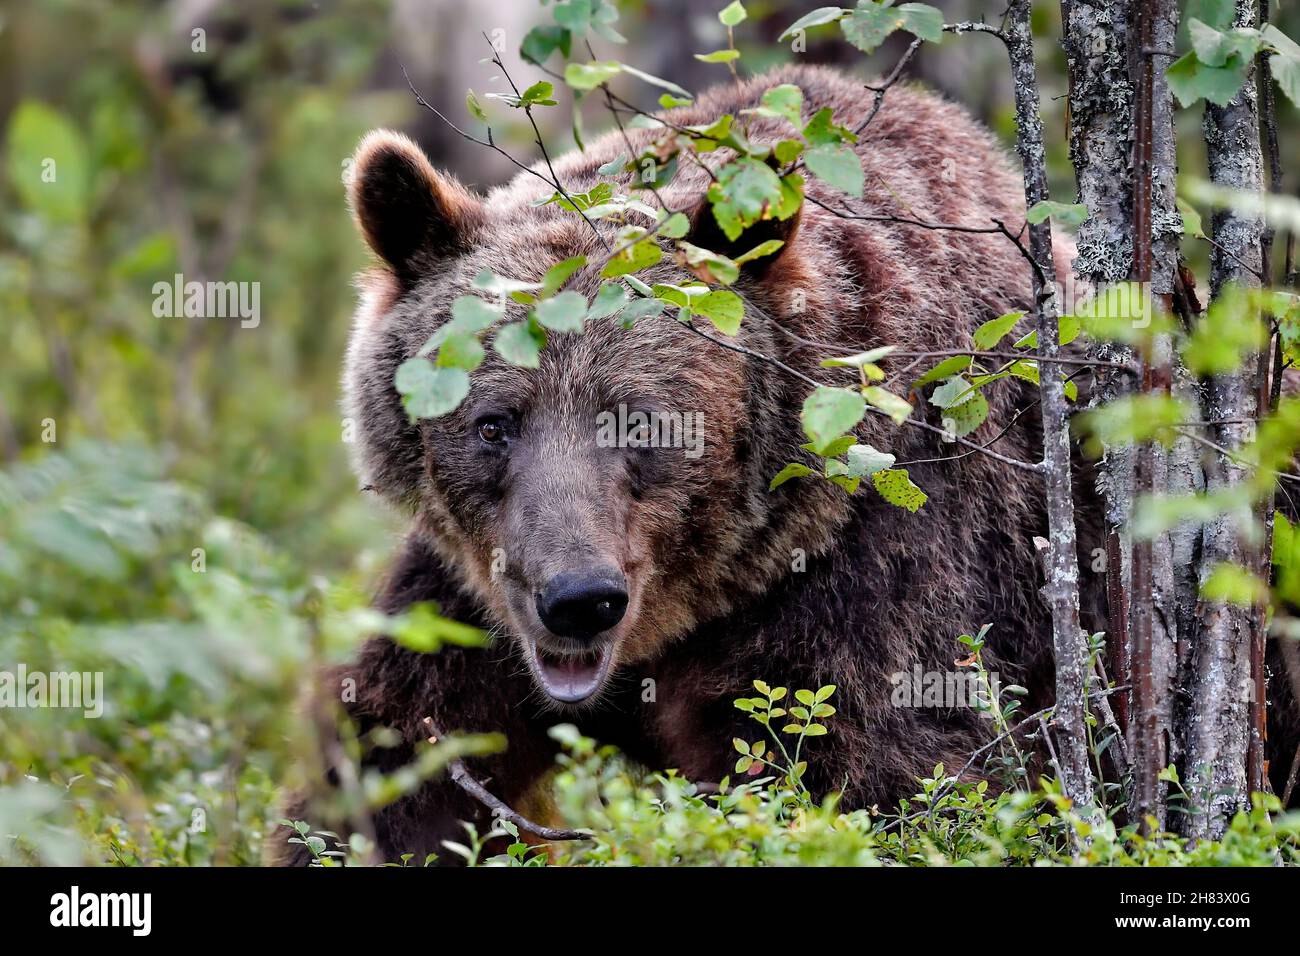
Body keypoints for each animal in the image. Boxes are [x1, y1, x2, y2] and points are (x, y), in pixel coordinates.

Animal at [271, 63, 1294, 866]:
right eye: (494, 423)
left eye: (645, 425)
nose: (578, 598)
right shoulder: (467, 602)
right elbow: (398, 762)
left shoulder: (897, 583)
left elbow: (892, 781)